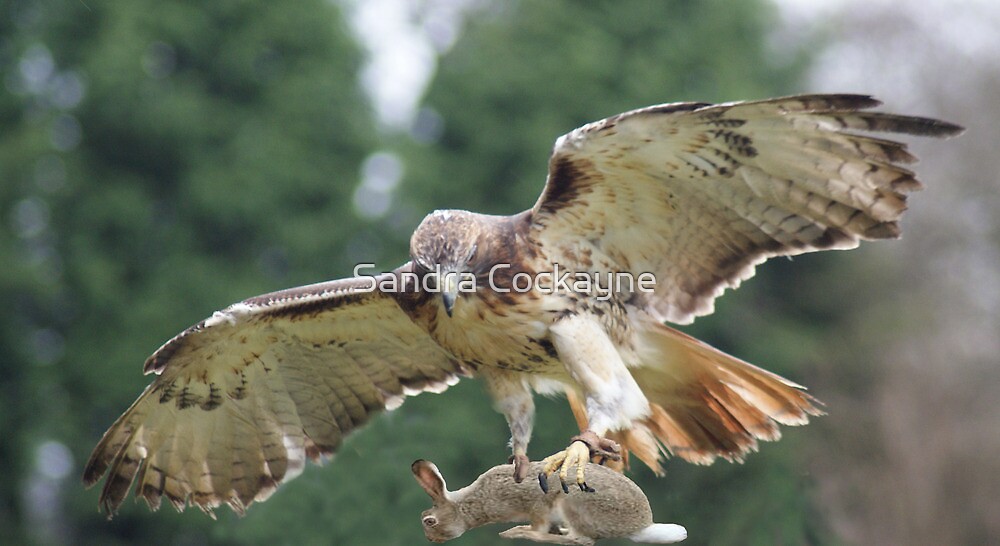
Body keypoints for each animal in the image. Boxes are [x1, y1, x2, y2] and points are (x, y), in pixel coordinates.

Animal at [411, 459, 686, 545]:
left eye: (429, 521)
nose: (431, 540)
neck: (466, 505)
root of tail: (641, 526)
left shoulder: (536, 505)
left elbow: (539, 522)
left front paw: (523, 530)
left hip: (573, 501)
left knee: (581, 541)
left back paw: (517, 533)